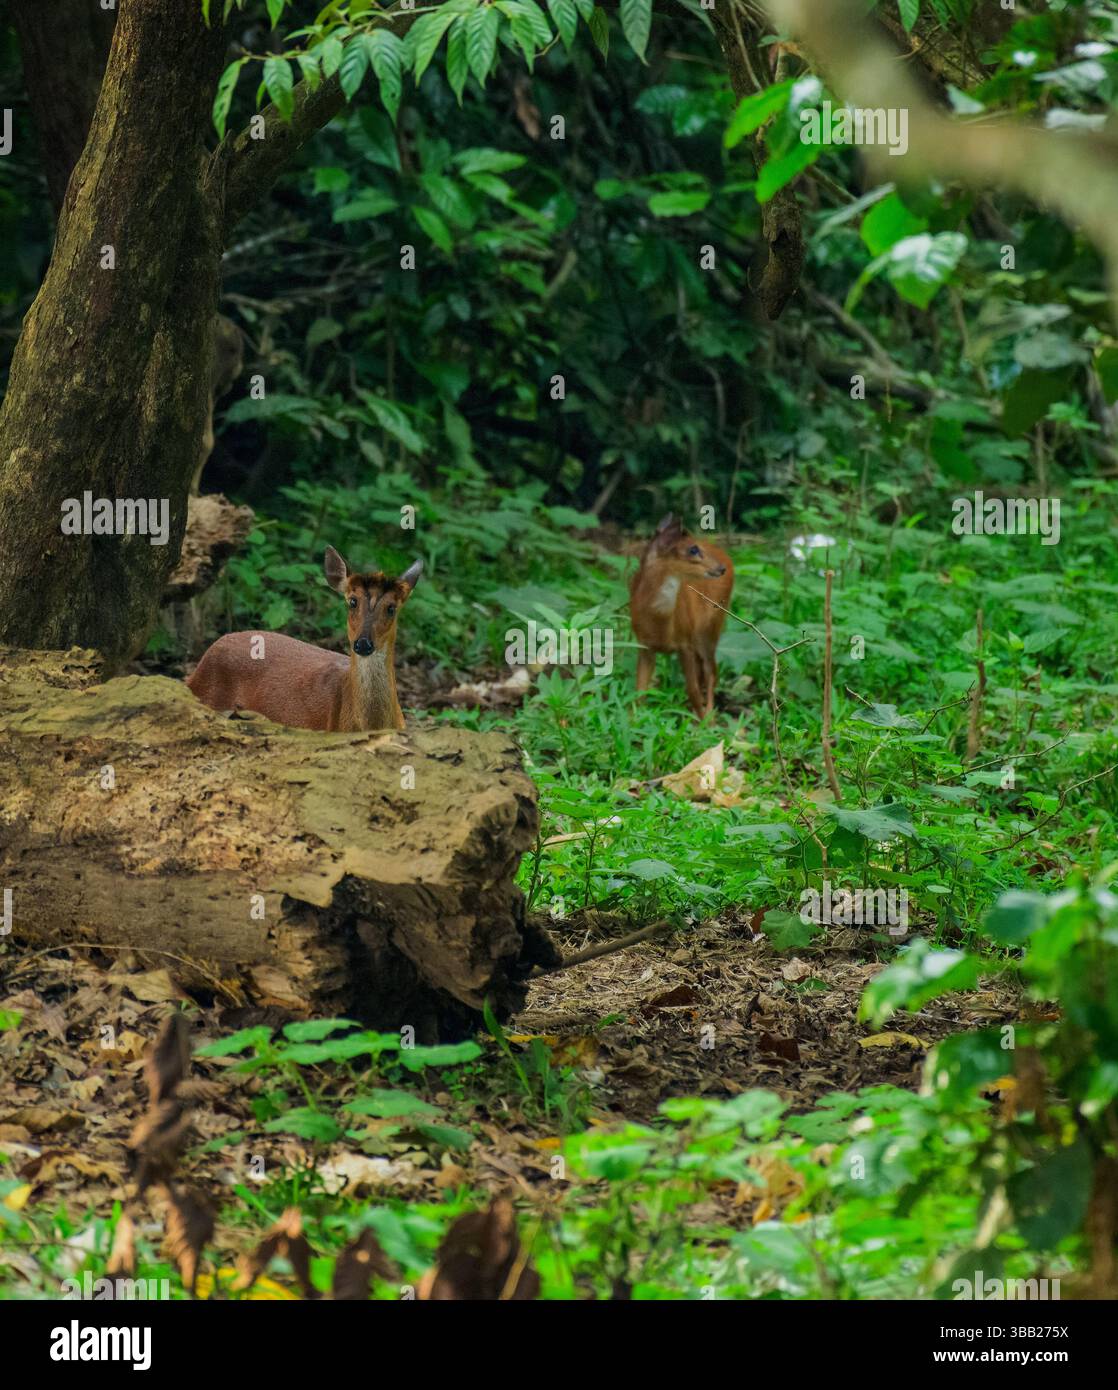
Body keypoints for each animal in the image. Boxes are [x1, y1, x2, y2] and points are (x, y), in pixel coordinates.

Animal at [629, 514, 734, 719]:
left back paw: (709, 714)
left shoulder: (686, 642)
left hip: (710, 626)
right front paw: (632, 721)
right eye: (693, 549)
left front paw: (703, 721)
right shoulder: (644, 645)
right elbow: (640, 690)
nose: (721, 568)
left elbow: (692, 689)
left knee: (711, 670)